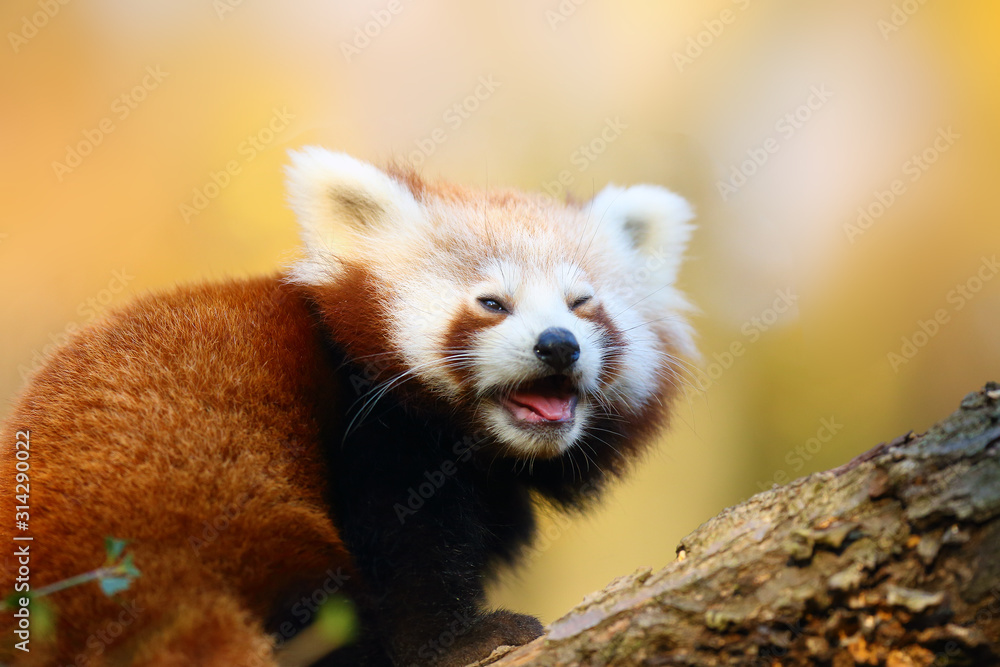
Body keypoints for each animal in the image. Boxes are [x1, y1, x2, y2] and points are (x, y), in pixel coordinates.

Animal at [0, 149, 696, 666]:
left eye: (582, 303)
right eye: (492, 303)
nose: (558, 344)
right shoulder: (376, 439)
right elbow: (409, 557)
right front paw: (463, 642)